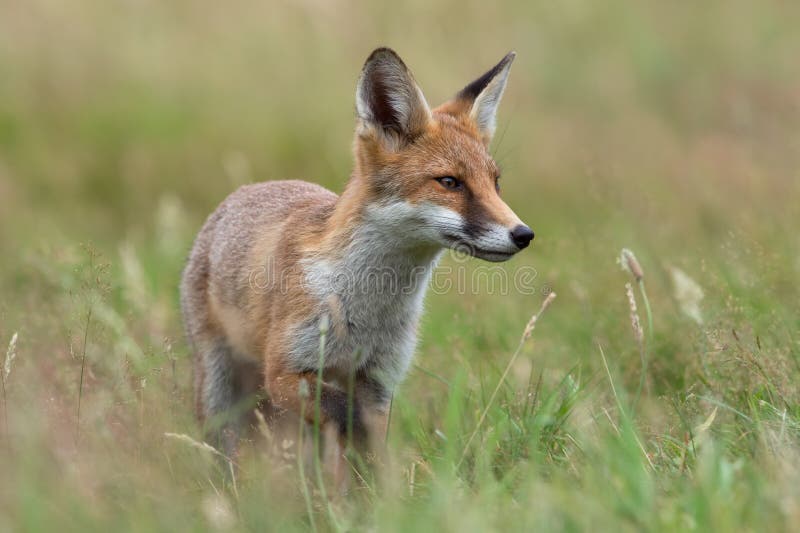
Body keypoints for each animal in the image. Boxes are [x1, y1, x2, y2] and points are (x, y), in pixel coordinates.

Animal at [180, 48, 534, 465]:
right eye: (450, 182)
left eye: (495, 183)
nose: (523, 234)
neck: (368, 309)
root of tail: (244, 191)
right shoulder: (284, 372)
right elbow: (347, 416)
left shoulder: (378, 380)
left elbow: (368, 446)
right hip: (218, 386)